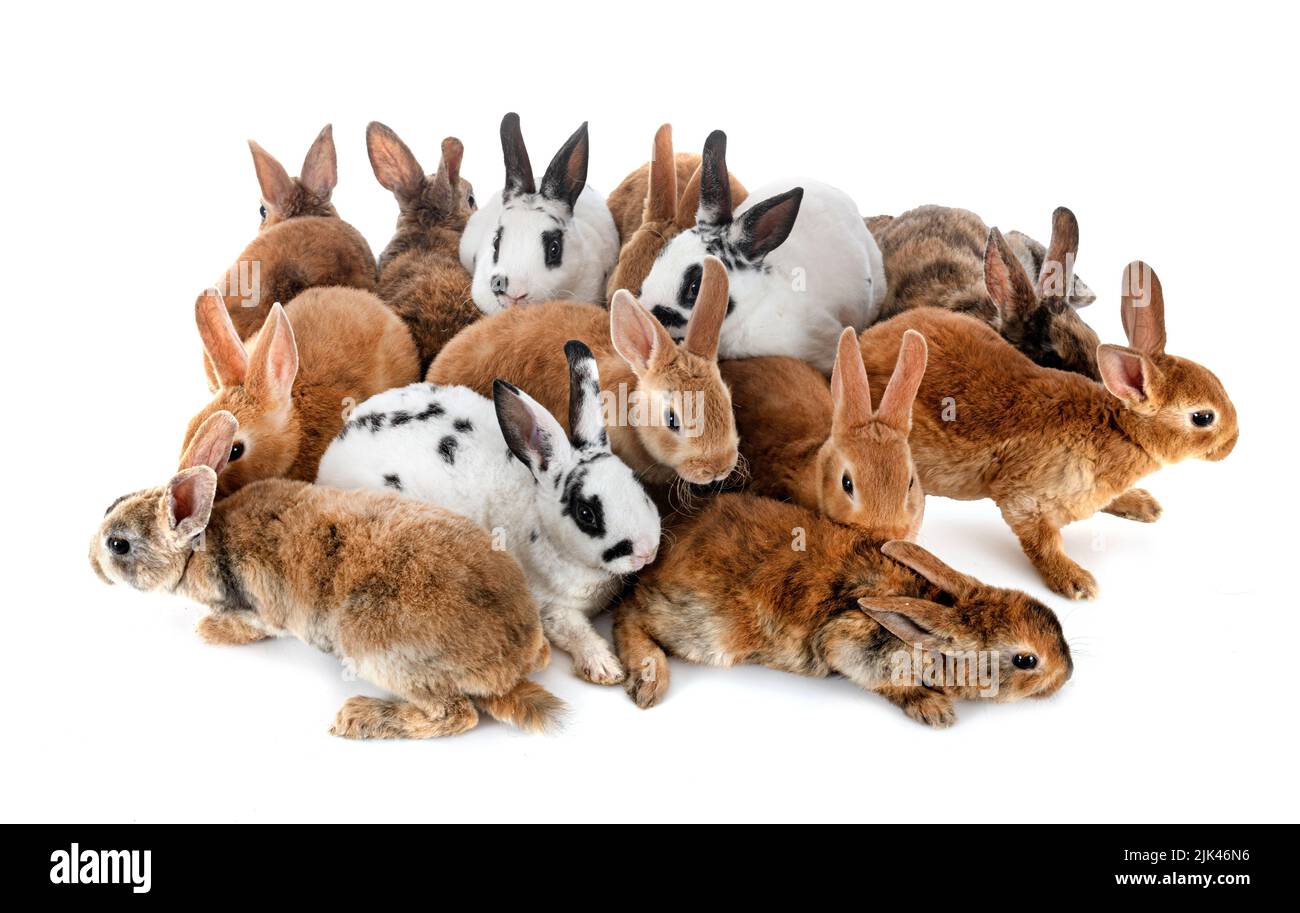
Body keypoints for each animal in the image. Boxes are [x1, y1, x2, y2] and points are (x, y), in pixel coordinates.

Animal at [91, 410, 563, 739]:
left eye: (119, 545)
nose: (92, 565)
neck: (203, 543)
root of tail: (511, 670)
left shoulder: (261, 610)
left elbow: (247, 625)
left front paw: (208, 629)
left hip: (372, 647)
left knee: (456, 715)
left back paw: (357, 716)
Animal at [316, 342, 662, 685]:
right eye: (586, 512)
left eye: (638, 483)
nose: (646, 553)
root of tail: (337, 446)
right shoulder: (549, 607)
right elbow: (576, 632)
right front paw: (606, 668)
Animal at [613, 493, 1073, 727]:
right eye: (1026, 660)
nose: (1066, 675)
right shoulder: (850, 642)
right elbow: (883, 679)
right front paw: (935, 709)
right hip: (707, 631)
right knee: (628, 614)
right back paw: (649, 681)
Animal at [857, 261, 1239, 600]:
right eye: (1203, 417)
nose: (1233, 443)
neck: (1119, 429)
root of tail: (864, 341)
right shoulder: (1025, 497)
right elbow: (1042, 541)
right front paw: (1075, 581)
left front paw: (1144, 505)